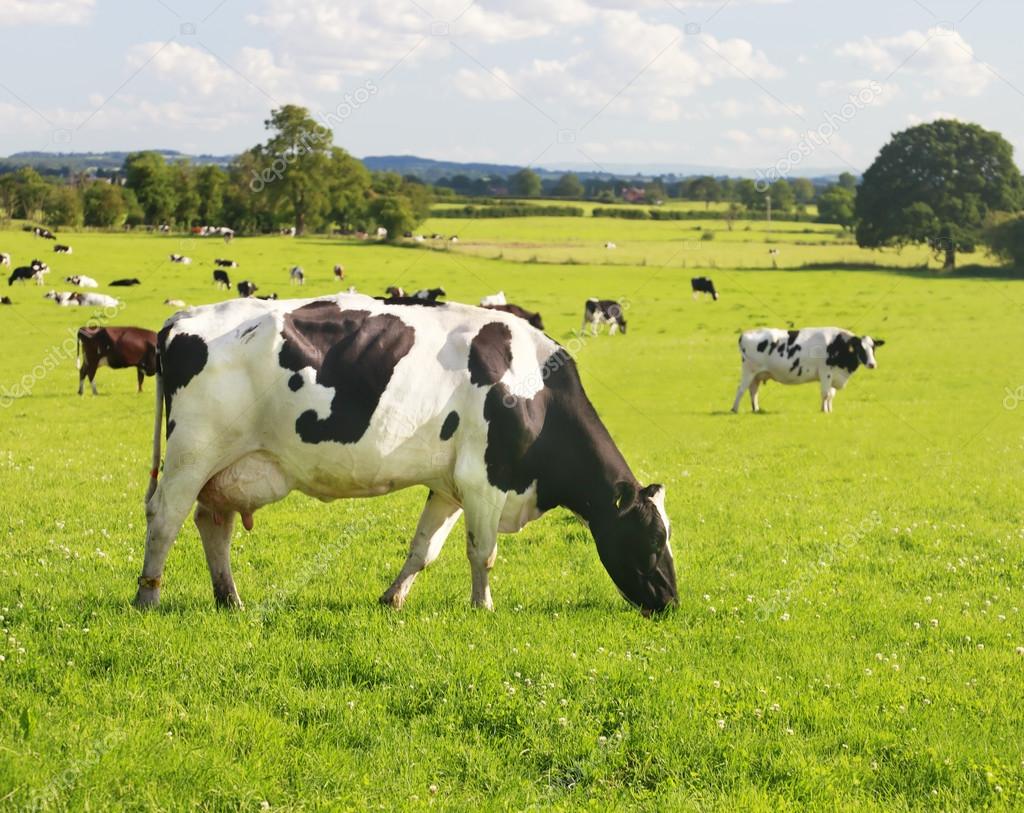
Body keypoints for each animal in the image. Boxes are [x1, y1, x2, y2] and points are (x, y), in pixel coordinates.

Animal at [133, 295, 677, 616]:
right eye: (651, 539)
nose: (671, 600)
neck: (532, 386)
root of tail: (182, 318)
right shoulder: (485, 480)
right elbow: (483, 551)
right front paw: (482, 606)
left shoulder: (449, 486)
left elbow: (424, 548)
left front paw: (392, 597)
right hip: (192, 455)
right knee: (165, 518)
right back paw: (148, 594)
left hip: (227, 467)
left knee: (212, 523)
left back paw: (230, 598)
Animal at [732, 327, 885, 414]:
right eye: (860, 348)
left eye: (873, 348)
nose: (872, 364)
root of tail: (745, 333)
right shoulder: (825, 372)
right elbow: (825, 394)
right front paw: (824, 411)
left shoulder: (833, 375)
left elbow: (831, 395)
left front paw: (830, 409)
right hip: (749, 371)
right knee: (741, 389)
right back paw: (734, 409)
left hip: (757, 374)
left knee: (753, 391)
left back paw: (756, 409)